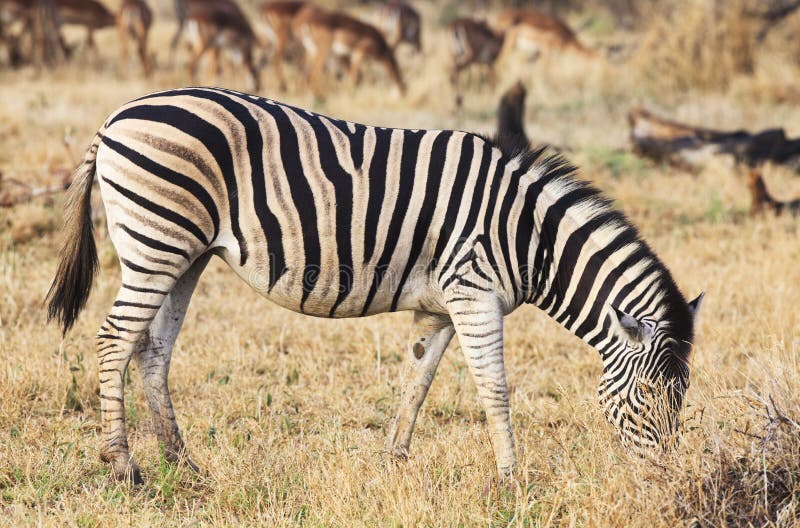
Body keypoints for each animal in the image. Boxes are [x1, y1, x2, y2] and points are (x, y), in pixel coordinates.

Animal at [47, 87, 703, 484]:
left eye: (681, 399)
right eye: (648, 398)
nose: (666, 481)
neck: (528, 235)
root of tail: (116, 116)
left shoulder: (440, 307)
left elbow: (417, 382)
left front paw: (394, 463)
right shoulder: (473, 292)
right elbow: (494, 389)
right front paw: (512, 481)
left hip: (186, 252)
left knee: (152, 350)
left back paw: (182, 463)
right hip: (155, 240)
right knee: (114, 340)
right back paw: (125, 467)